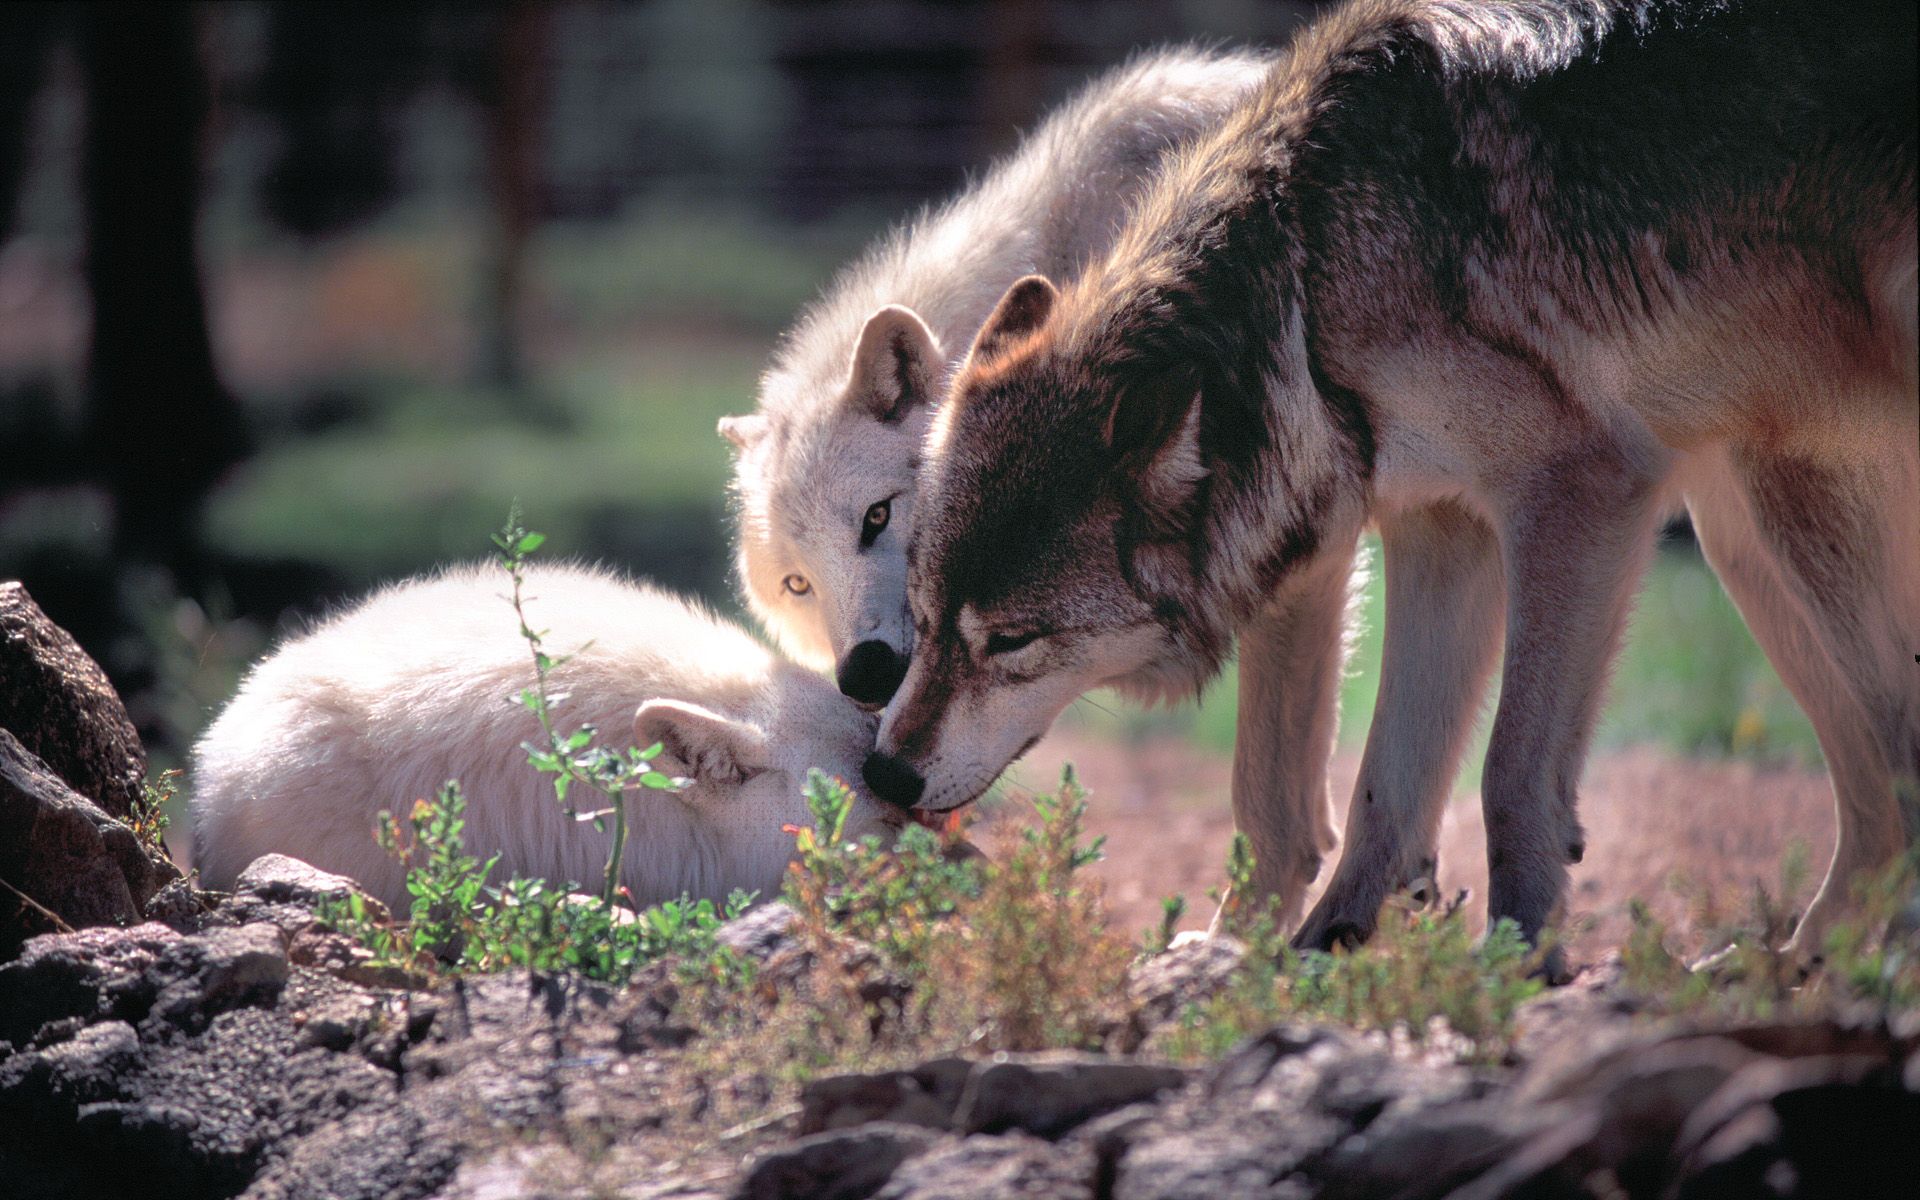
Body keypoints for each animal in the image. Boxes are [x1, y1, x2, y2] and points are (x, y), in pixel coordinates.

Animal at [868, 0, 1918, 966]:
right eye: (921, 620)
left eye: (1010, 641)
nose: (884, 777)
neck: (1312, 279)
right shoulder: (1445, 531)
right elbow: (1388, 785)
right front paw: (1322, 953)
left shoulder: (1580, 494)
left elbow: (1509, 774)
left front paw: (1515, 966)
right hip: (1747, 521)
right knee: (1881, 780)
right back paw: (1803, 965)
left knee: (1892, 758)